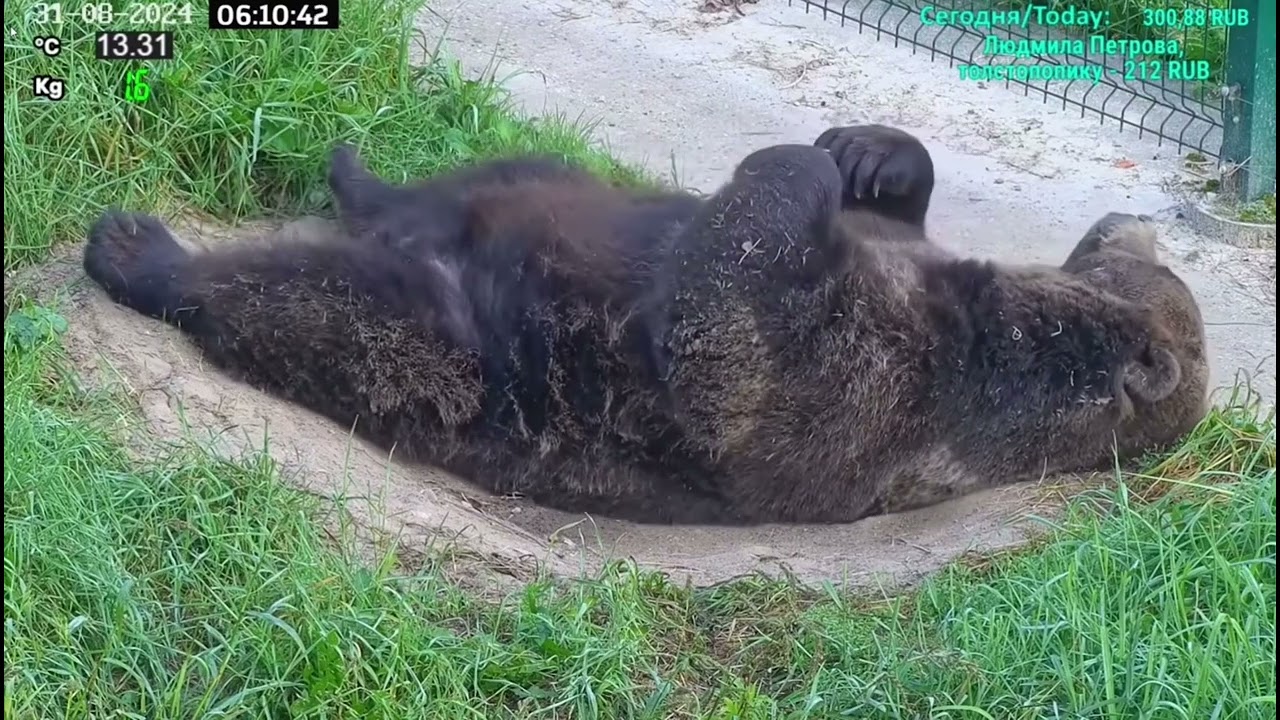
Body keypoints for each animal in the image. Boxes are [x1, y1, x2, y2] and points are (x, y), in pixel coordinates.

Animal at [81, 124, 1210, 525]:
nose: (1119, 224)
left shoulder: (878, 389)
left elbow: (733, 339)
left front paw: (802, 160)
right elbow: (884, 200)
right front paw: (865, 152)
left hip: (456, 351)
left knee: (323, 305)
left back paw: (141, 252)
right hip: (528, 186)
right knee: (487, 175)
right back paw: (357, 165)